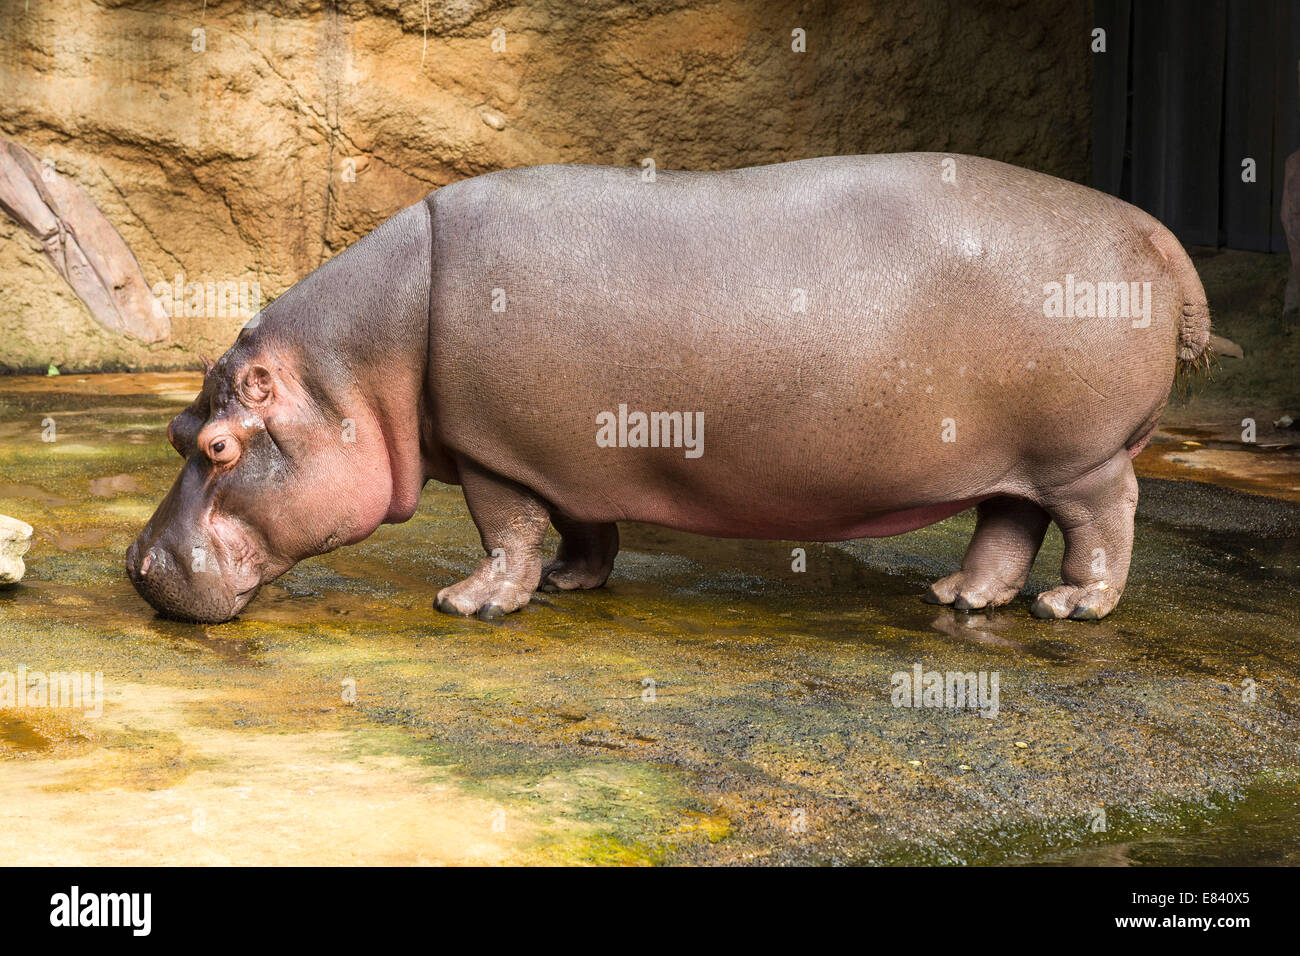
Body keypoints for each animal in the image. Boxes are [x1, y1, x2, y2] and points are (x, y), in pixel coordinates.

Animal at [127, 154, 1210, 624]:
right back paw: (961, 597)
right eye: (178, 427)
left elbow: (504, 529)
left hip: (1079, 454)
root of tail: (1156, 230)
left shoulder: (490, 451)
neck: (357, 363)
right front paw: (572, 584)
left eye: (219, 445)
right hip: (1012, 455)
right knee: (1006, 521)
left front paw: (469, 603)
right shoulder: (561, 452)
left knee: (1105, 515)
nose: (136, 565)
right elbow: (578, 524)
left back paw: (1072, 608)